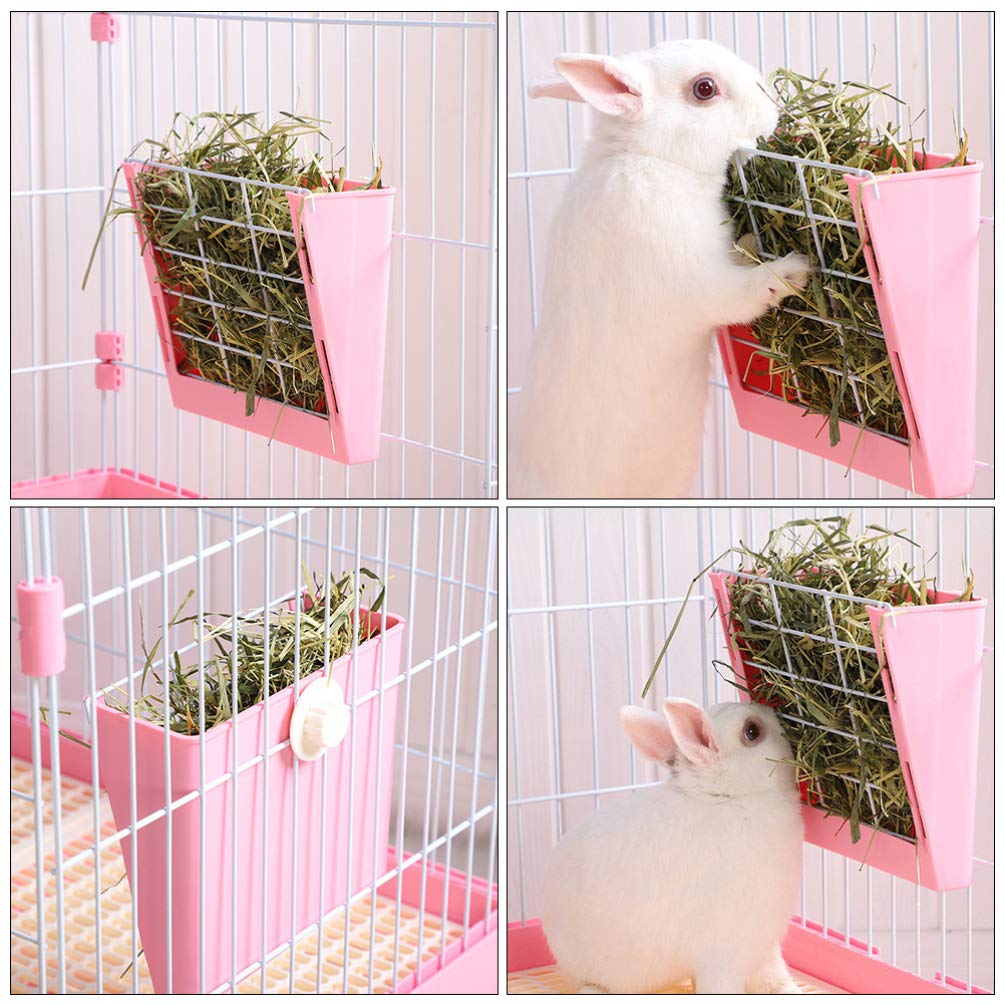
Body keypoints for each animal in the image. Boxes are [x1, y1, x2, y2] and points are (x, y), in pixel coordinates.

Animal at [510, 40, 811, 498]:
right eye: (704, 88)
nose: (772, 106)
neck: (651, 158)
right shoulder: (702, 284)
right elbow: (743, 295)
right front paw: (793, 272)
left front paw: (748, 244)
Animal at [540, 698, 804, 994]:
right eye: (751, 731)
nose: (773, 711)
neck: (729, 798)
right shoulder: (725, 953)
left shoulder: (763, 944)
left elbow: (773, 976)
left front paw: (788, 991)